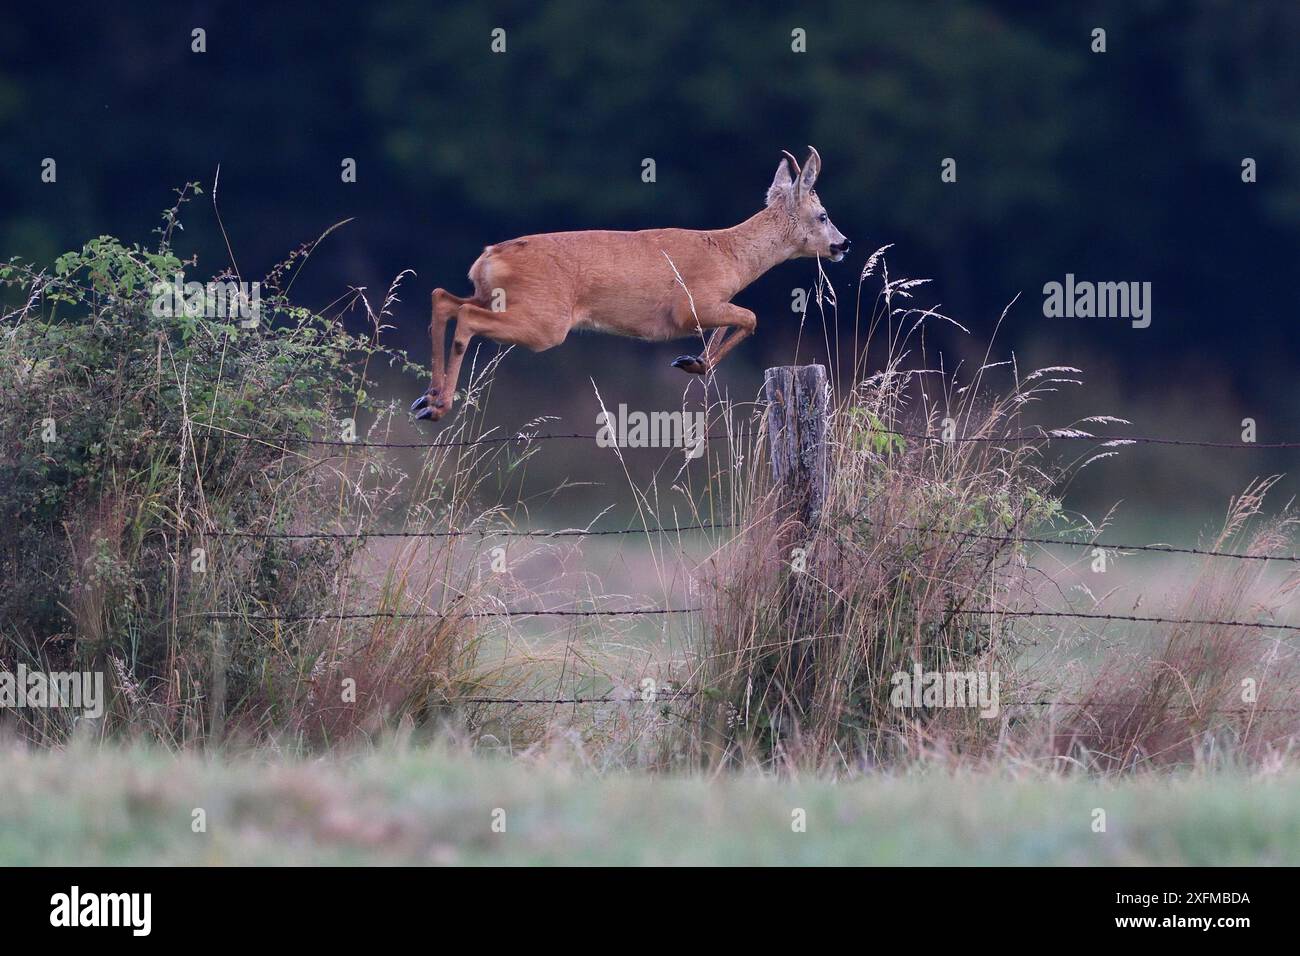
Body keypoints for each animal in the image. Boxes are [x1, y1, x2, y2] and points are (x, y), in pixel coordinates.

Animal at [411, 146, 849, 421]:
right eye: (824, 215)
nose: (843, 244)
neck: (731, 256)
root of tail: (488, 256)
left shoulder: (707, 307)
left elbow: (735, 321)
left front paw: (692, 361)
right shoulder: (692, 304)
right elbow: (751, 317)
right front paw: (694, 362)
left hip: (494, 297)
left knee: (443, 298)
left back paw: (427, 399)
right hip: (545, 321)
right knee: (465, 316)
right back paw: (440, 404)